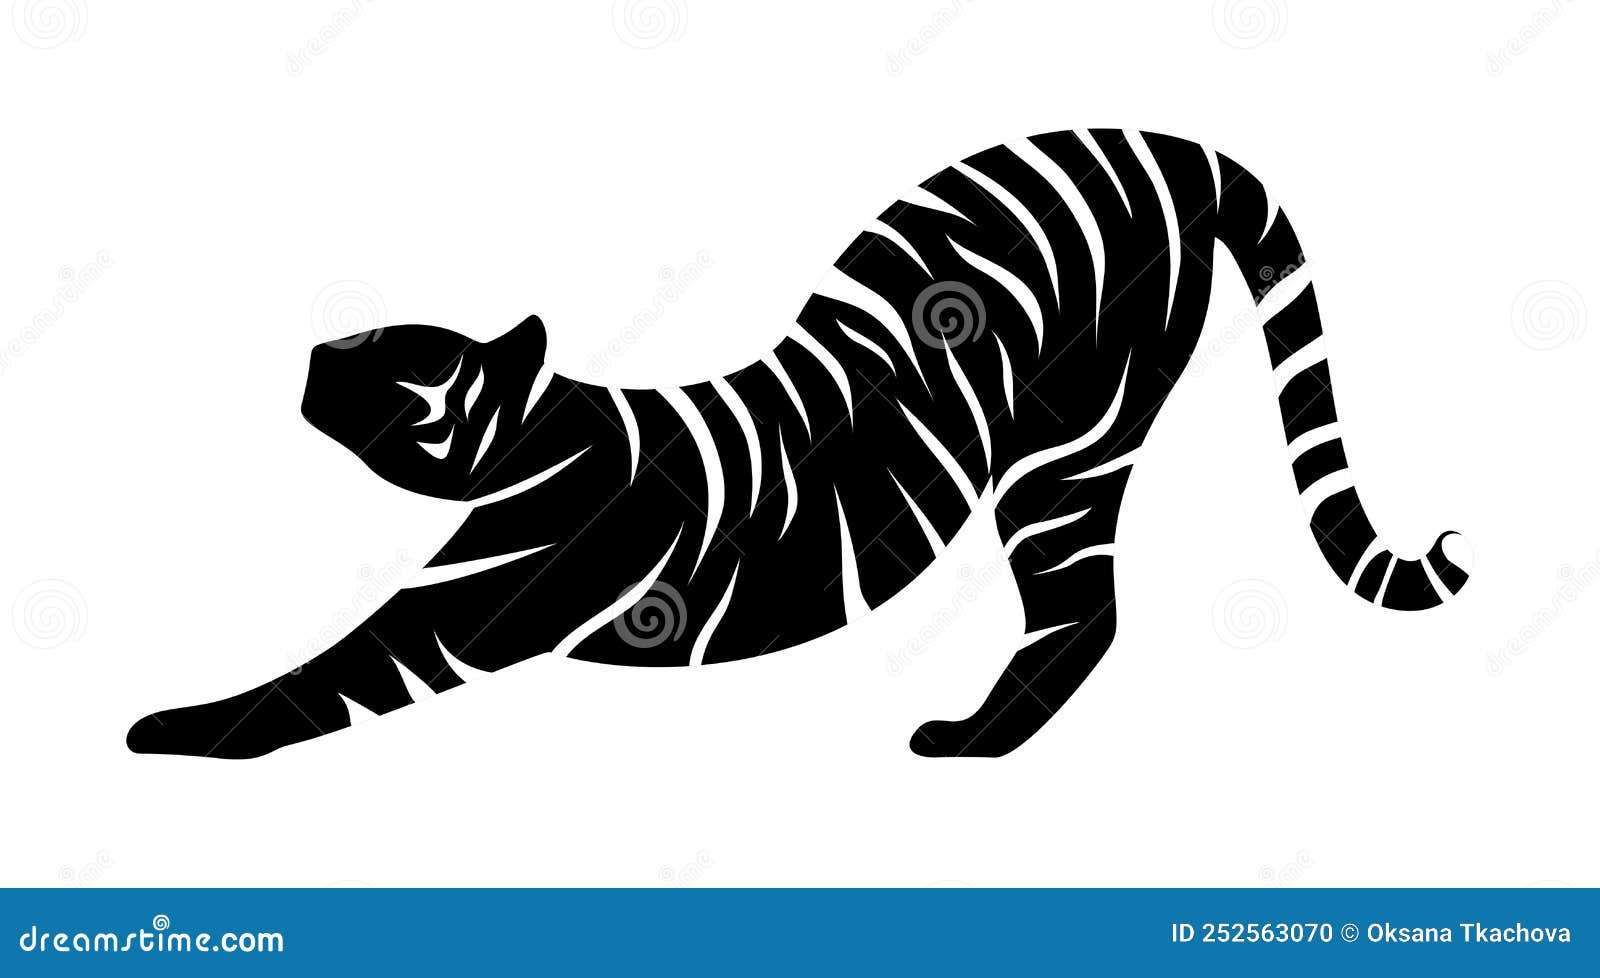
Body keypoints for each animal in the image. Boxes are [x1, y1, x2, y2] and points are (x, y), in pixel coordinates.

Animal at [127, 128, 1470, 759]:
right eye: (352, 336)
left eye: (401, 368)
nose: (312, 363)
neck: (540, 433)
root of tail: (1158, 136)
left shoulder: (470, 611)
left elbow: (326, 674)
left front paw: (175, 731)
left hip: (1066, 448)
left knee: (1081, 609)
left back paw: (971, 745)